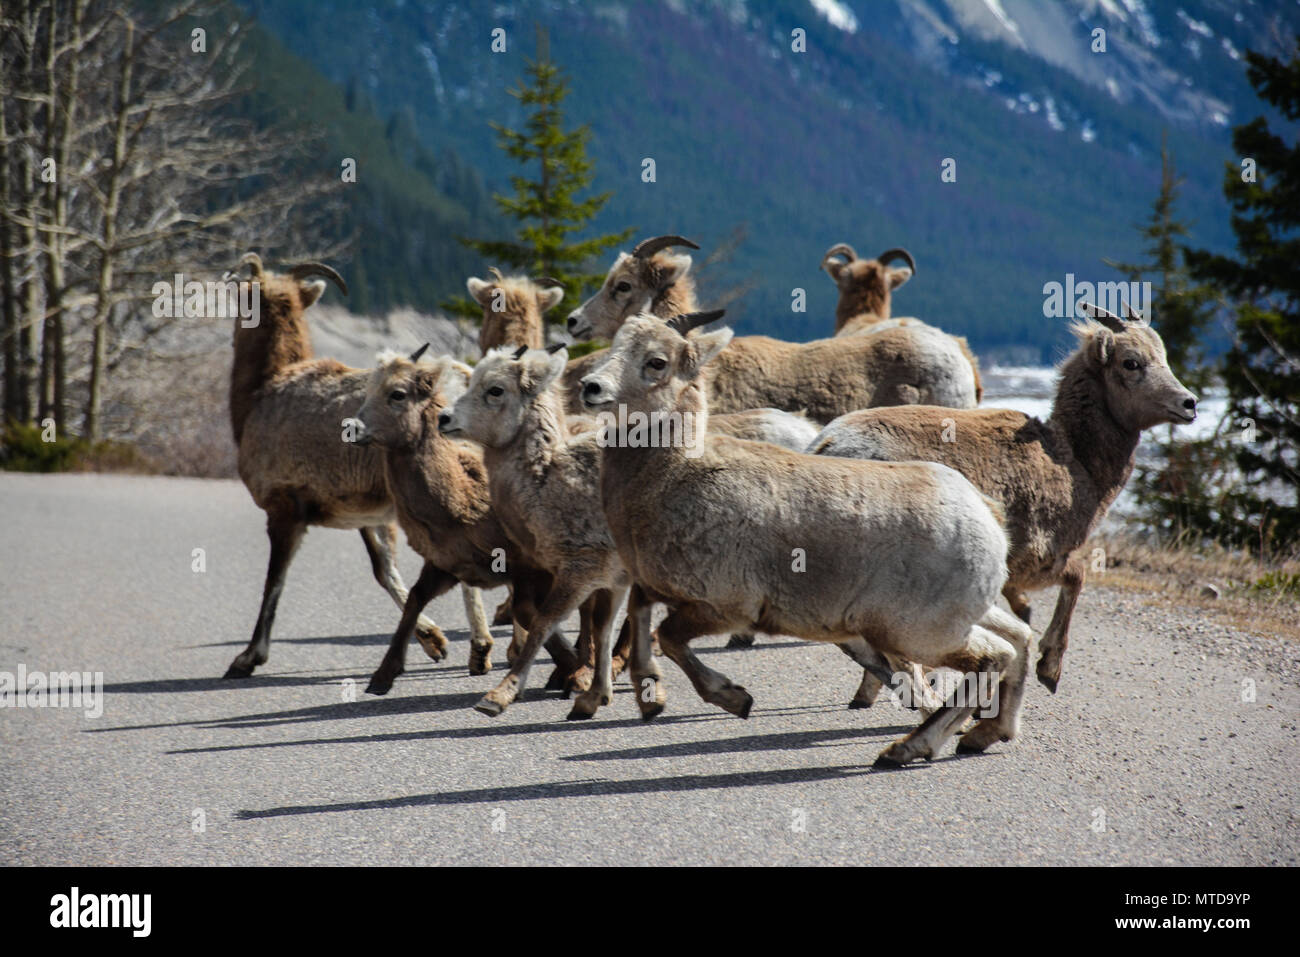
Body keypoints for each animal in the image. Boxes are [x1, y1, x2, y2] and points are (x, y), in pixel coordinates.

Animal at [224, 253, 482, 678]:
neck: (261, 395)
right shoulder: (368, 516)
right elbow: (384, 570)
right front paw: (435, 643)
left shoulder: (285, 511)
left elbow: (274, 580)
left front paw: (246, 660)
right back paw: (484, 652)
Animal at [580, 310, 1034, 765]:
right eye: (616, 344)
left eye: (656, 362)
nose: (590, 388)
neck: (671, 474)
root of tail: (985, 515)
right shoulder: (657, 589)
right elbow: (639, 614)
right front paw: (649, 699)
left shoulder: (724, 607)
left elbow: (670, 638)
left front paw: (736, 699)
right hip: (965, 613)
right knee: (1019, 639)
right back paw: (985, 735)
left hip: (919, 632)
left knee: (995, 655)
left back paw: (906, 749)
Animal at [810, 301, 1198, 693]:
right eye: (1131, 362)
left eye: (1163, 355)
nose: (1189, 403)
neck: (1076, 462)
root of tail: (826, 445)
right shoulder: (1036, 561)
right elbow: (1077, 577)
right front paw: (1049, 670)